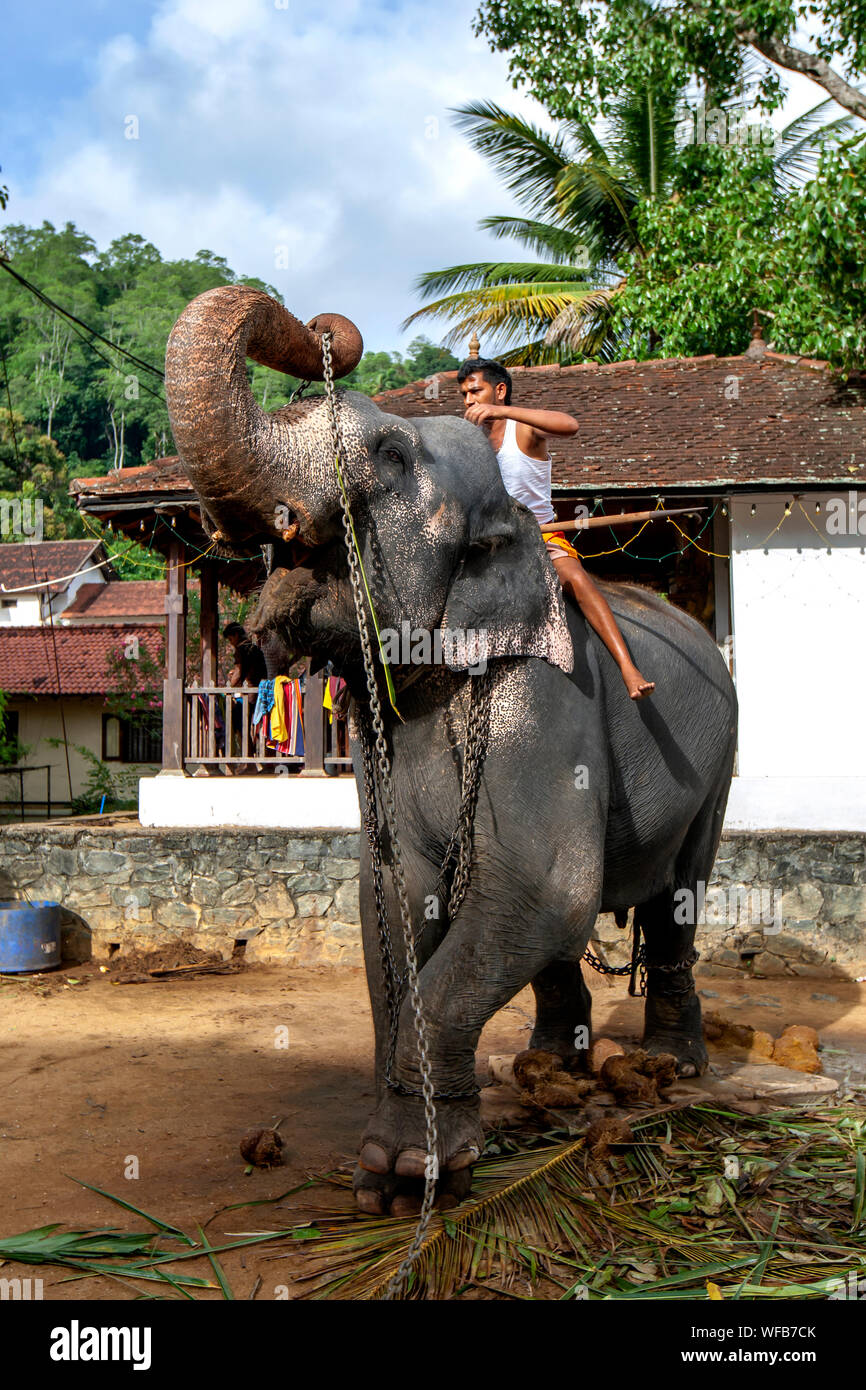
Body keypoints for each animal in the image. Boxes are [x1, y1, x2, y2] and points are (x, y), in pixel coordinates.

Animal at [166, 285, 738, 1216]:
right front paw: (388, 1182)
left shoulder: (546, 702)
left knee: (676, 898)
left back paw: (674, 1068)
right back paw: (550, 1063)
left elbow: (544, 890)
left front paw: (413, 1171)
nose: (322, 331)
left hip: (719, 763)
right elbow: (395, 896)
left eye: (392, 454)